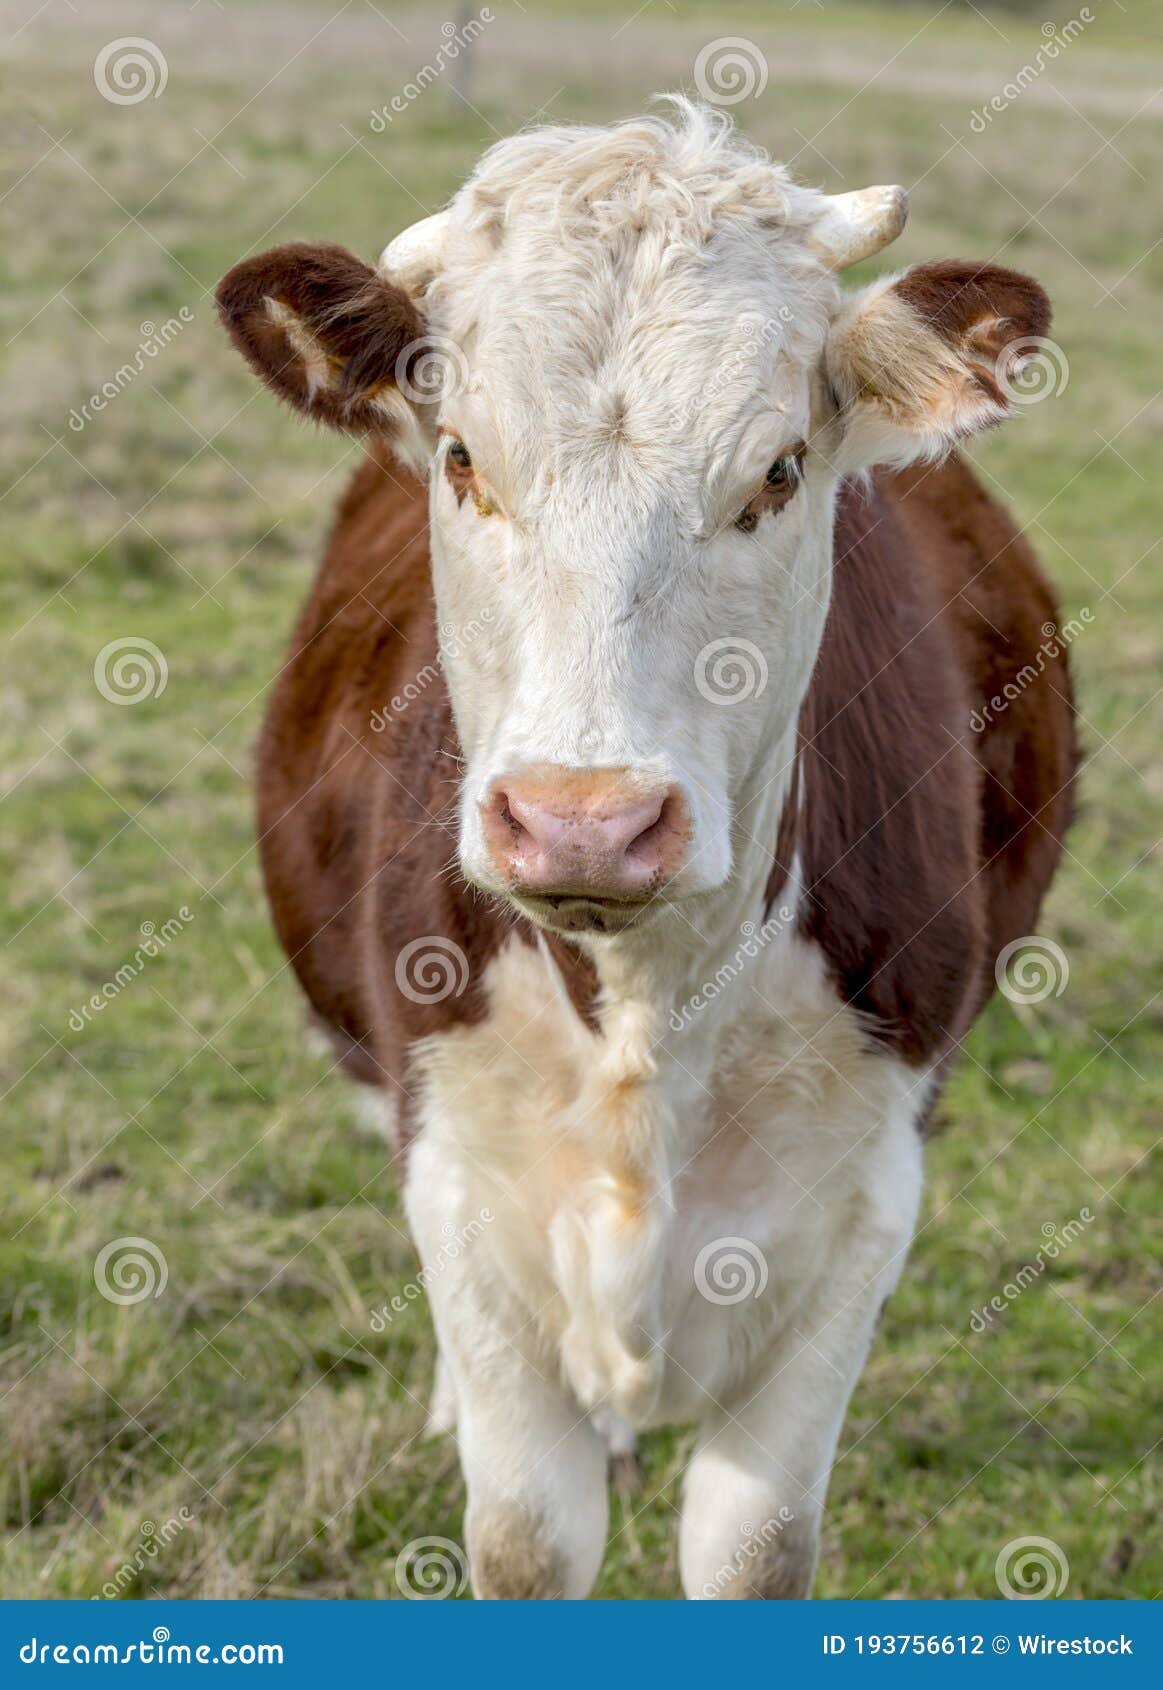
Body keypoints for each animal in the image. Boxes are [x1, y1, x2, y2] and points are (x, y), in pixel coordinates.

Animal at [216, 102, 1077, 1599]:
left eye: (777, 471)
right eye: (461, 457)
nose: (582, 819)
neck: (644, 1010)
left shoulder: (861, 1204)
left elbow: (755, 1542)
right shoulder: (454, 1174)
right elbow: (520, 1533)